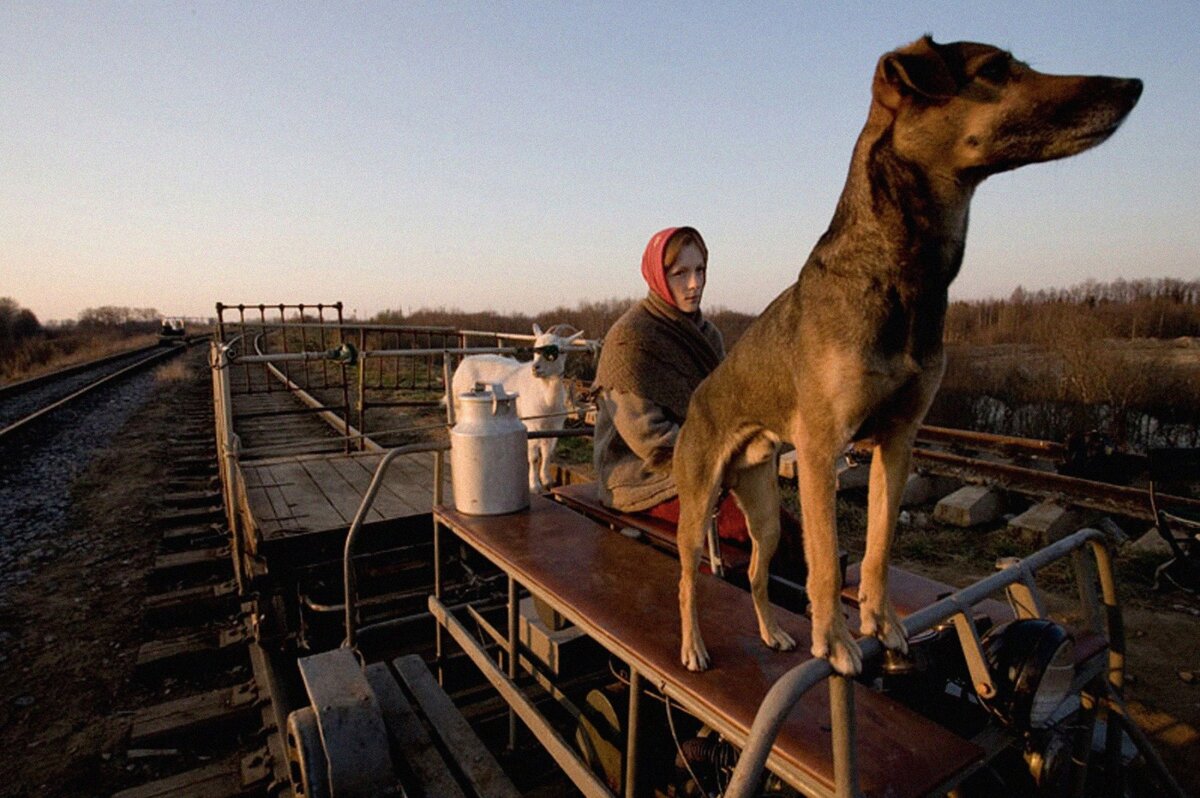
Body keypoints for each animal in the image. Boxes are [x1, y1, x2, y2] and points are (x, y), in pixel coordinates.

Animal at [451, 324, 585, 492]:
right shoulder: (533, 424)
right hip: (460, 408)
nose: (535, 368)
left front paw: (547, 480)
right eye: (536, 349)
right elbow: (534, 457)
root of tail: (464, 362)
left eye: (557, 351)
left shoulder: (554, 425)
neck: (546, 396)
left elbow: (547, 452)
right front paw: (534, 485)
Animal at [676, 37, 1142, 672]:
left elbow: (877, 548)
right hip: (698, 503)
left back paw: (772, 634)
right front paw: (836, 641)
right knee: (687, 581)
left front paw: (883, 623)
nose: (1132, 86)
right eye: (994, 68)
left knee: (753, 573)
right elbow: (826, 566)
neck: (904, 272)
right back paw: (693, 646)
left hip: (765, 509)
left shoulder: (897, 441)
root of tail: (699, 395)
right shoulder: (821, 451)